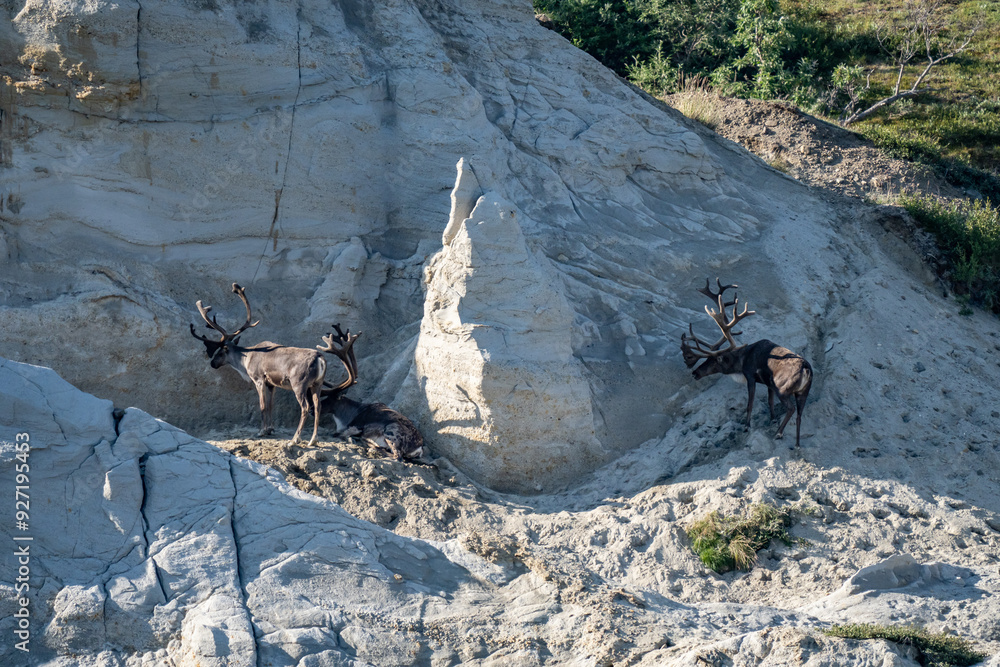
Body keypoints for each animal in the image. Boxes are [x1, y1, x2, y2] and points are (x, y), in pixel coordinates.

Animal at [190, 283, 327, 447]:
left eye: (220, 352)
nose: (212, 363)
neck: (246, 360)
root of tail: (320, 358)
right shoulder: (272, 384)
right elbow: (270, 405)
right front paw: (271, 429)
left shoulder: (259, 378)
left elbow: (262, 406)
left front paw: (261, 431)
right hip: (317, 383)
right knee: (318, 406)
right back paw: (313, 439)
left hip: (299, 383)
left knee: (306, 407)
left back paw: (294, 439)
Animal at [316, 324, 425, 461]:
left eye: (330, 398)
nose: (312, 410)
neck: (346, 416)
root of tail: (419, 448)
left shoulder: (355, 426)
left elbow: (338, 434)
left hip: (392, 431)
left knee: (397, 456)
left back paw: (372, 447)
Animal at [680, 278, 813, 448]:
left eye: (714, 360)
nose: (695, 372)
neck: (743, 359)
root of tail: (806, 369)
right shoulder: (769, 383)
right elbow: (770, 401)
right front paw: (772, 419)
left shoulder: (750, 375)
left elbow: (750, 403)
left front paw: (747, 426)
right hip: (803, 392)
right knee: (799, 414)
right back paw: (796, 444)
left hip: (783, 388)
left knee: (791, 409)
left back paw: (779, 433)